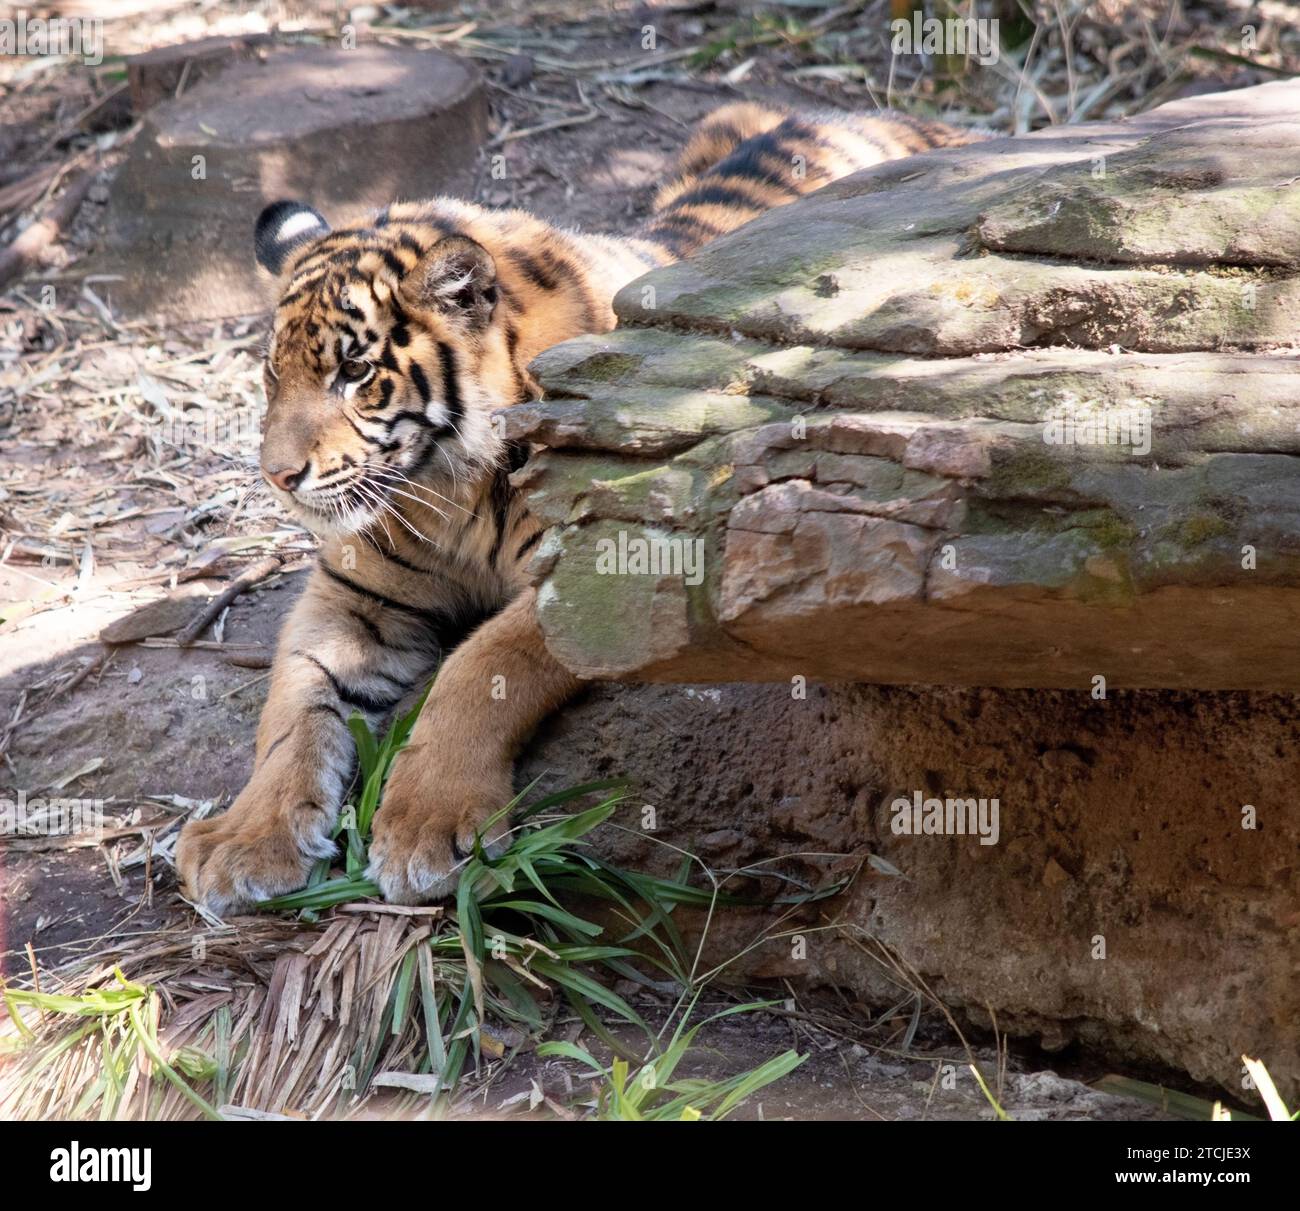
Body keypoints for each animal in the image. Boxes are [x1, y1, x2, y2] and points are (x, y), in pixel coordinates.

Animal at [175, 102, 977, 911]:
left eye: (355, 370)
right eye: (273, 373)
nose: (278, 476)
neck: (443, 492)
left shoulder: (597, 571)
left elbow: (480, 667)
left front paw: (429, 824)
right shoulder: (354, 595)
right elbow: (292, 707)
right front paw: (245, 840)